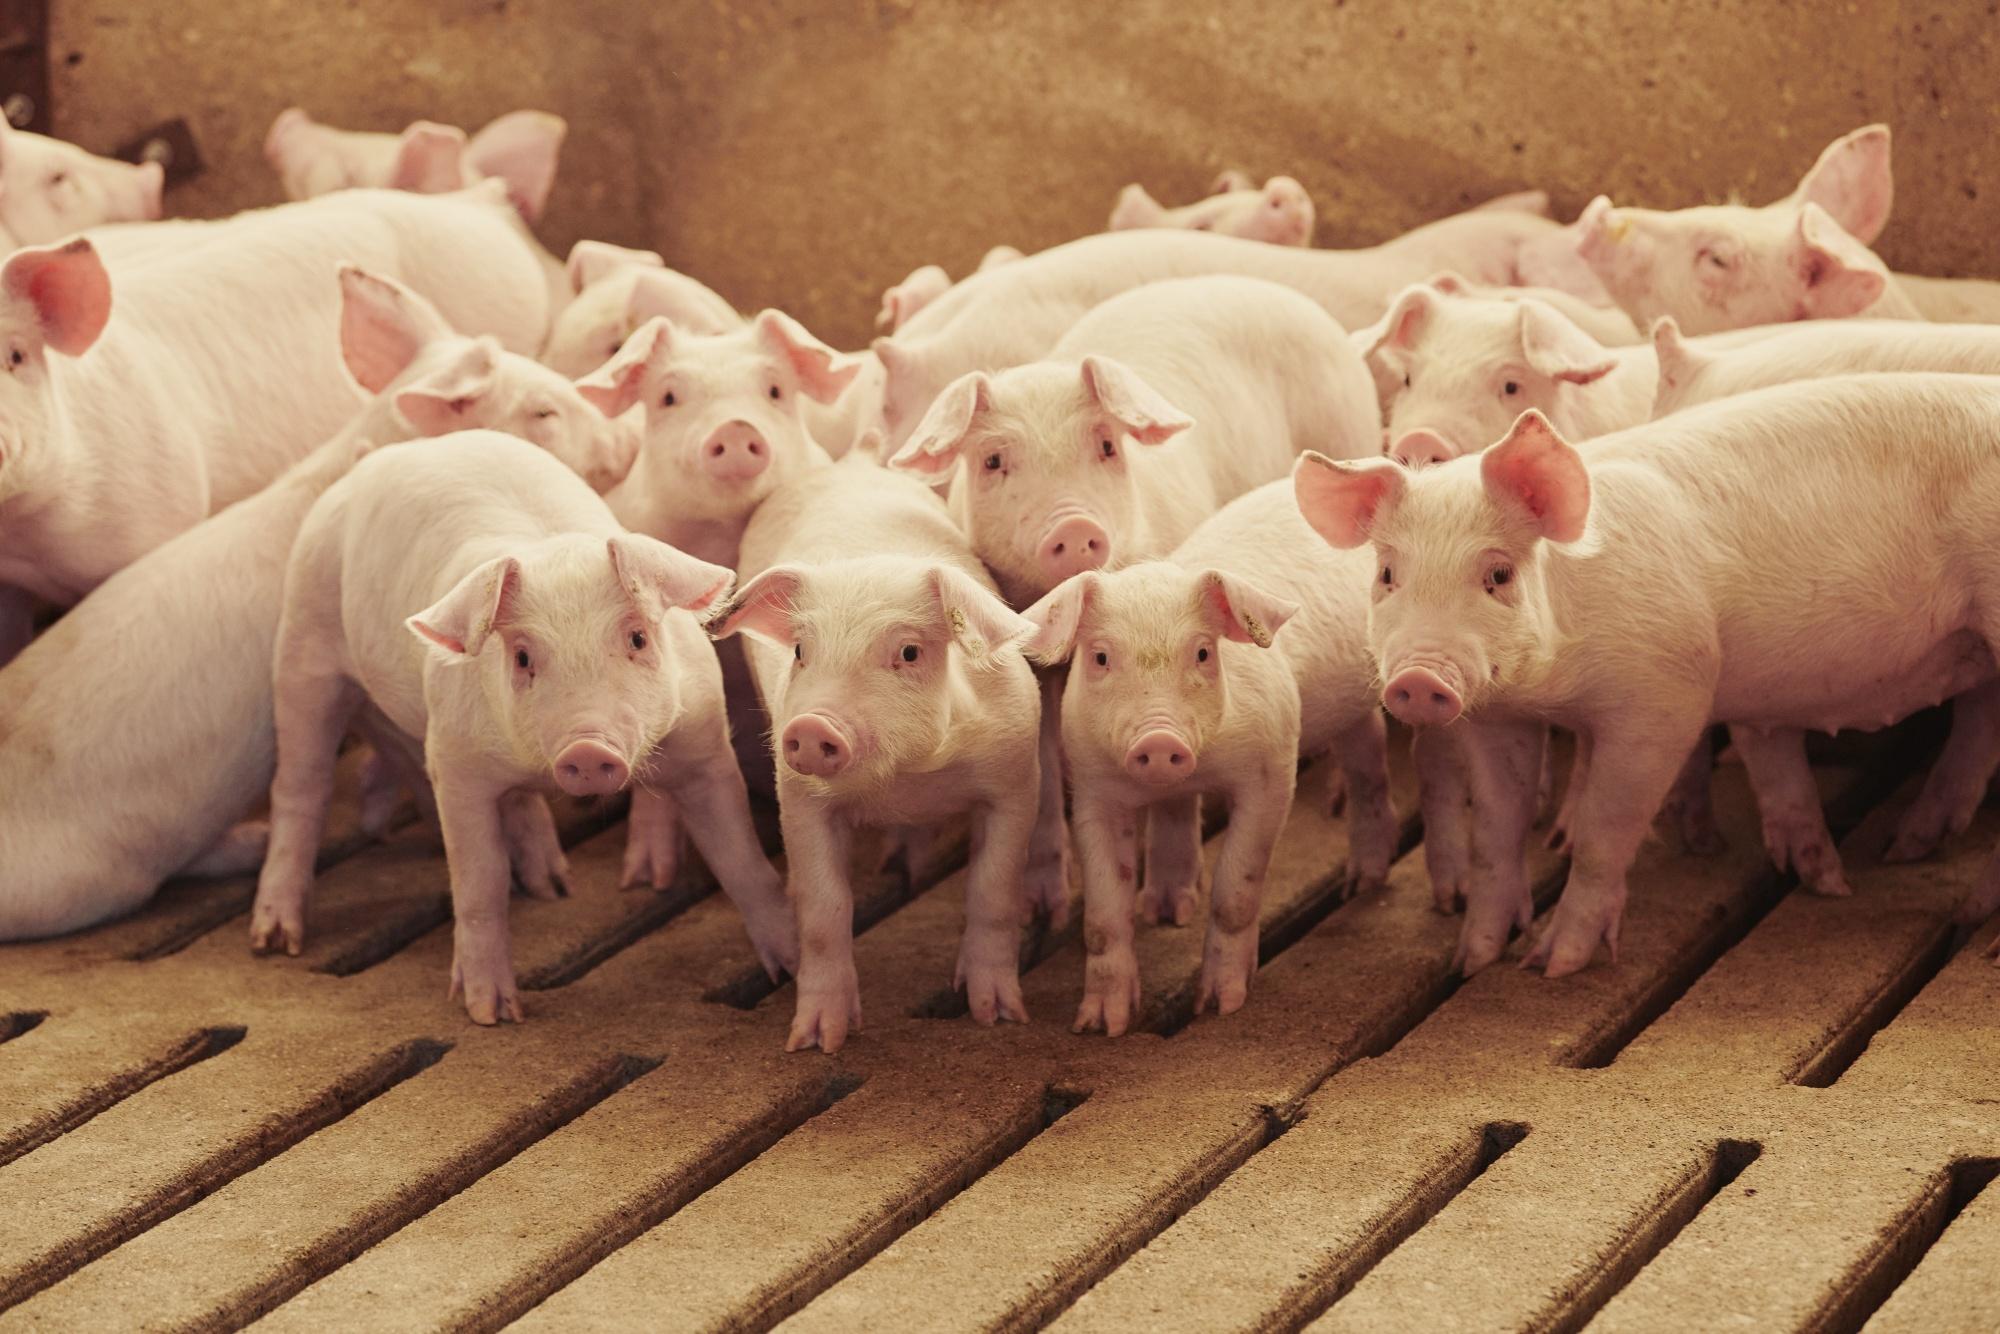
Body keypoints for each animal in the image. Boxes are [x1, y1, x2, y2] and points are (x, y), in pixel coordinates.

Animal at [253, 432, 794, 1023]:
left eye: (637, 638)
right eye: (523, 657)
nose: (587, 749)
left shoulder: (704, 744)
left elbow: (742, 860)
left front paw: (790, 973)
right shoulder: (456, 764)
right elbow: (479, 883)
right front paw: (491, 1013)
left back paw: (554, 886)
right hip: (303, 641)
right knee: (300, 787)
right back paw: (275, 941)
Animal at [707, 449, 1041, 1051]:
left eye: (909, 652)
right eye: (801, 650)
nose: (811, 725)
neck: (909, 780)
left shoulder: (1017, 776)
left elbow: (993, 888)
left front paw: (998, 1017)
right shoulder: (799, 798)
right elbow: (824, 909)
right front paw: (816, 1042)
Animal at [1022, 479, 1396, 1033]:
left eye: (1202, 652)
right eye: (1101, 657)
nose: (1159, 741)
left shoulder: (1273, 764)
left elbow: (1235, 892)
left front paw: (1219, 1006)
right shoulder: (1091, 785)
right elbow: (1103, 917)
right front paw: (1100, 1027)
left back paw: (1362, 888)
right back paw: (1166, 911)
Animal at [1294, 375, 2000, 977]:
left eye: (1498, 574)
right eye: (1388, 574)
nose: (1418, 678)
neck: (1556, 689)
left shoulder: (1666, 693)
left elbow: (1603, 831)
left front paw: (1552, 967)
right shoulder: (1498, 715)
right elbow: (1497, 828)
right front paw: (1472, 961)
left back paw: (1972, 924)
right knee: (1977, 726)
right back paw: (1888, 859)